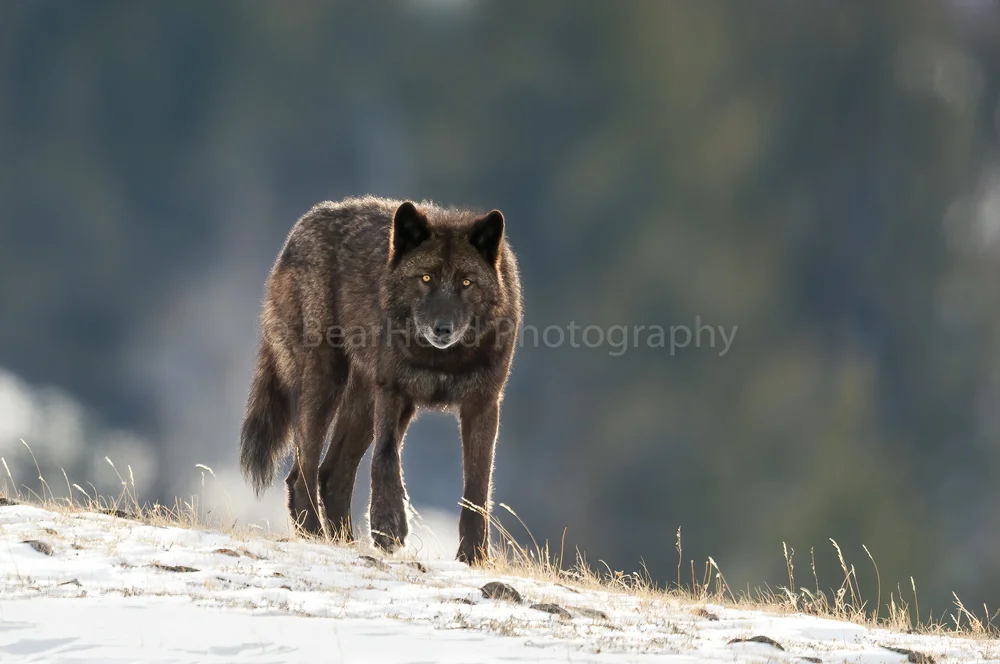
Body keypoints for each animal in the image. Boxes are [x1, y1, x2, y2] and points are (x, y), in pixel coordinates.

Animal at [238, 196, 522, 564]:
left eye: (466, 282)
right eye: (426, 278)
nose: (442, 329)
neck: (442, 358)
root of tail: (305, 222)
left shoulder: (482, 405)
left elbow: (477, 488)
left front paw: (473, 557)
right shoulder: (393, 392)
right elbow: (385, 459)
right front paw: (389, 527)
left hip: (360, 404)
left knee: (331, 475)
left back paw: (343, 542)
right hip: (326, 384)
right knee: (302, 473)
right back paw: (316, 535)